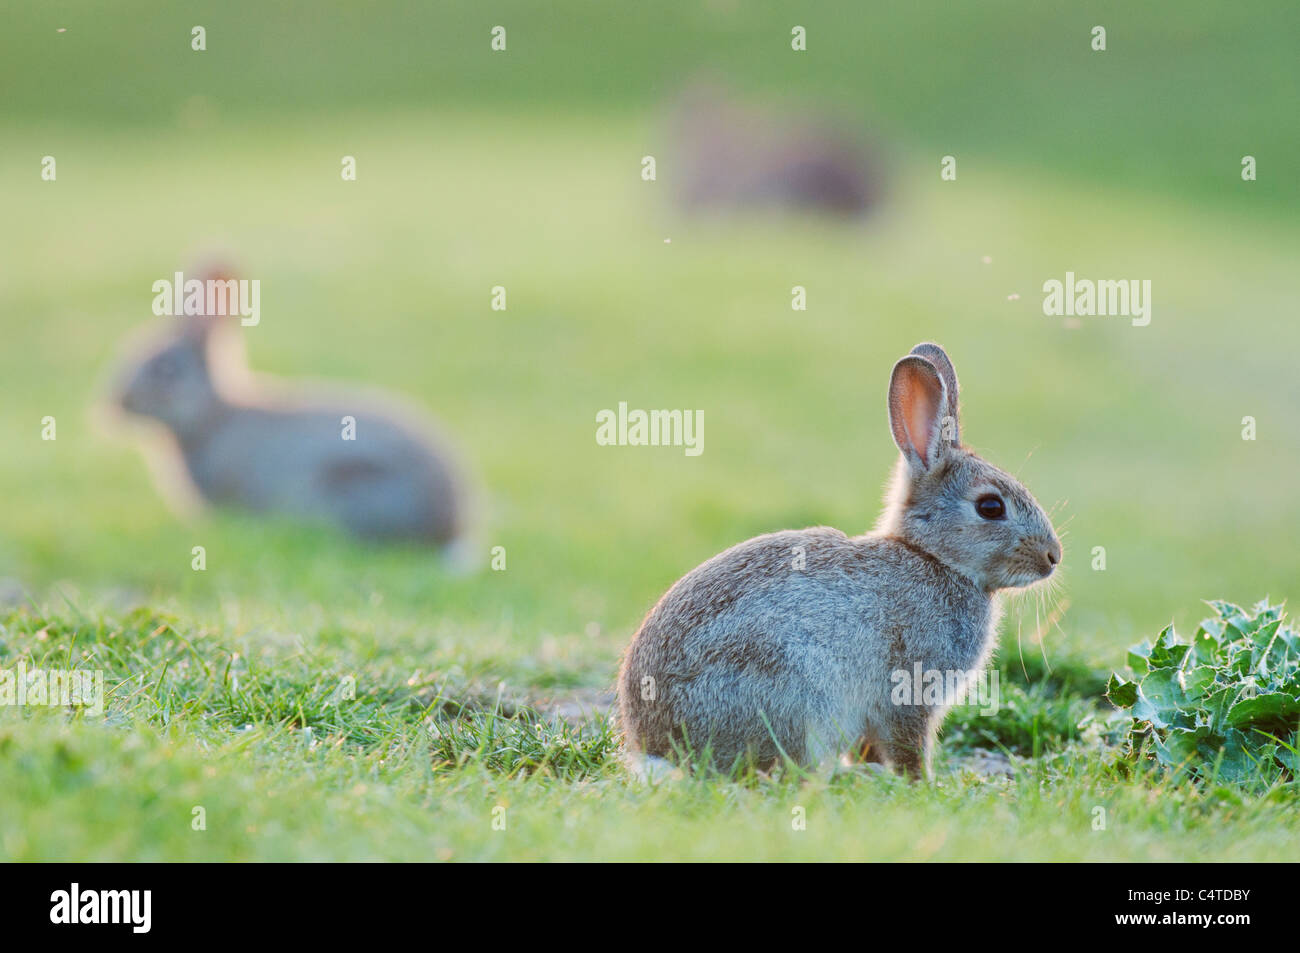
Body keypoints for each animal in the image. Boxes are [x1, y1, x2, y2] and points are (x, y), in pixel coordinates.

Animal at [617, 342, 1061, 779]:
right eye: (991, 507)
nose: (1053, 556)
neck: (934, 558)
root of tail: (660, 752)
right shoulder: (909, 688)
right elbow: (908, 745)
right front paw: (921, 783)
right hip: (794, 691)